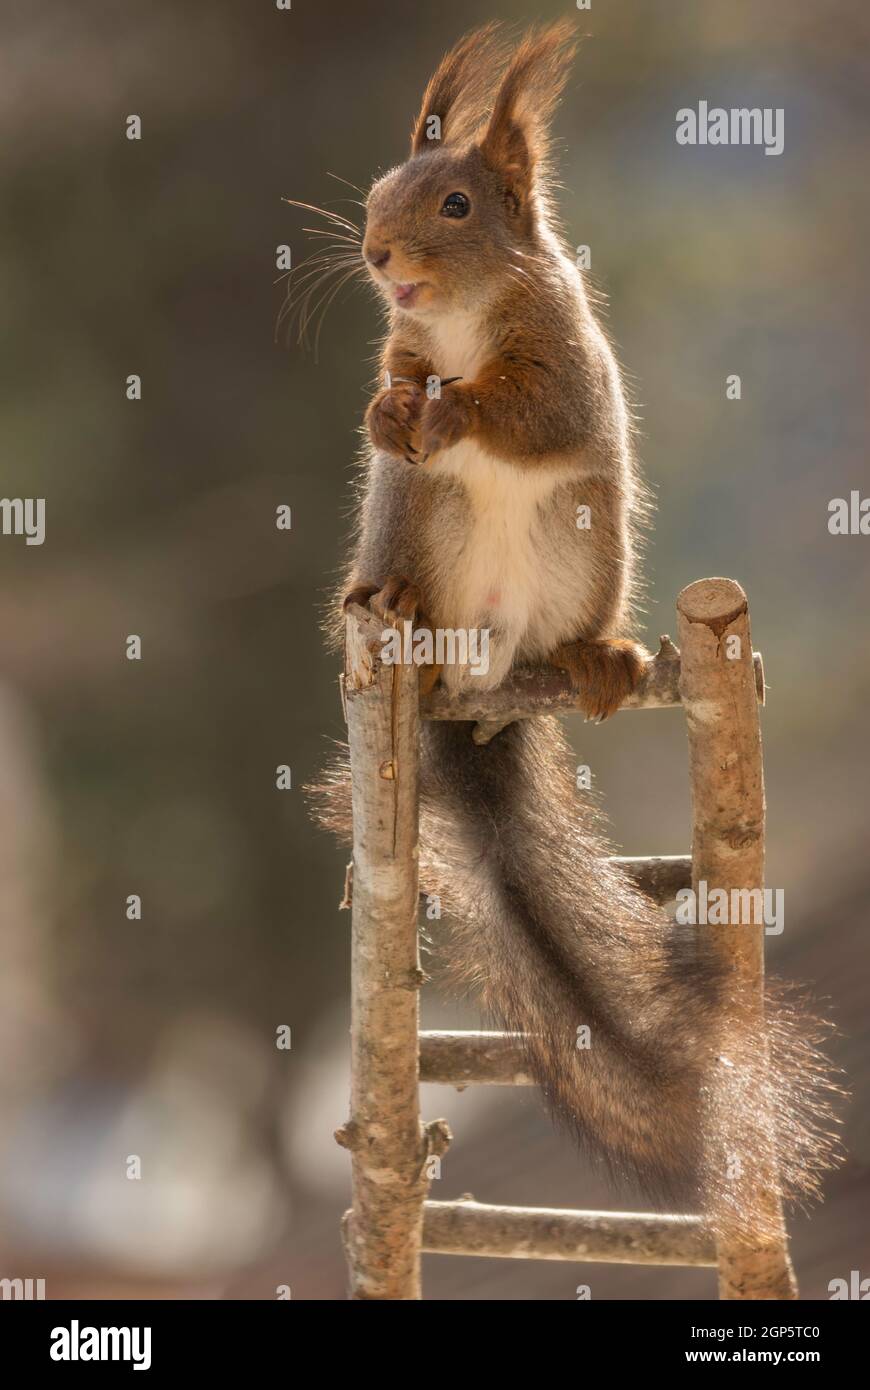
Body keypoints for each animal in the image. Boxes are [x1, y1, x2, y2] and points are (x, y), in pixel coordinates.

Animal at [308, 21, 842, 1241]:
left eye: (456, 203)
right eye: (379, 189)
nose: (377, 254)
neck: (459, 316)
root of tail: (487, 676)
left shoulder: (560, 366)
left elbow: (530, 411)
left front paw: (457, 406)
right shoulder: (406, 346)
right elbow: (394, 384)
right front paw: (391, 410)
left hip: (589, 543)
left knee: (568, 624)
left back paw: (594, 658)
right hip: (412, 523)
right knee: (405, 557)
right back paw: (385, 612)